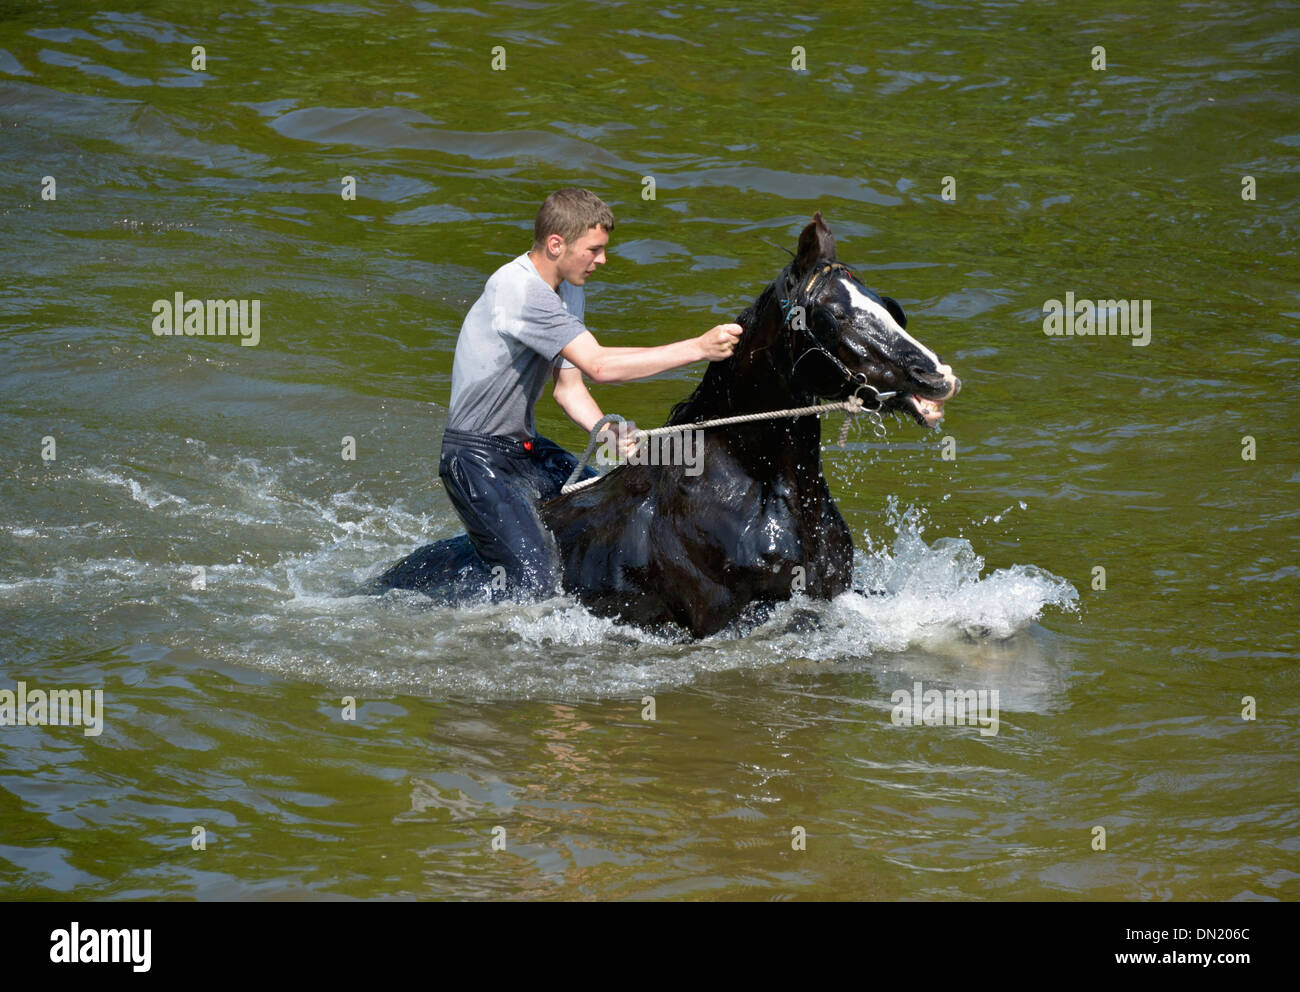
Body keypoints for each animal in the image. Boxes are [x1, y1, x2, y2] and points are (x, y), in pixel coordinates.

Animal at [362, 213, 959, 638]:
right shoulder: (727, 619)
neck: (757, 489)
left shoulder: (834, 593)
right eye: (833, 316)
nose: (936, 377)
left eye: (892, 308)